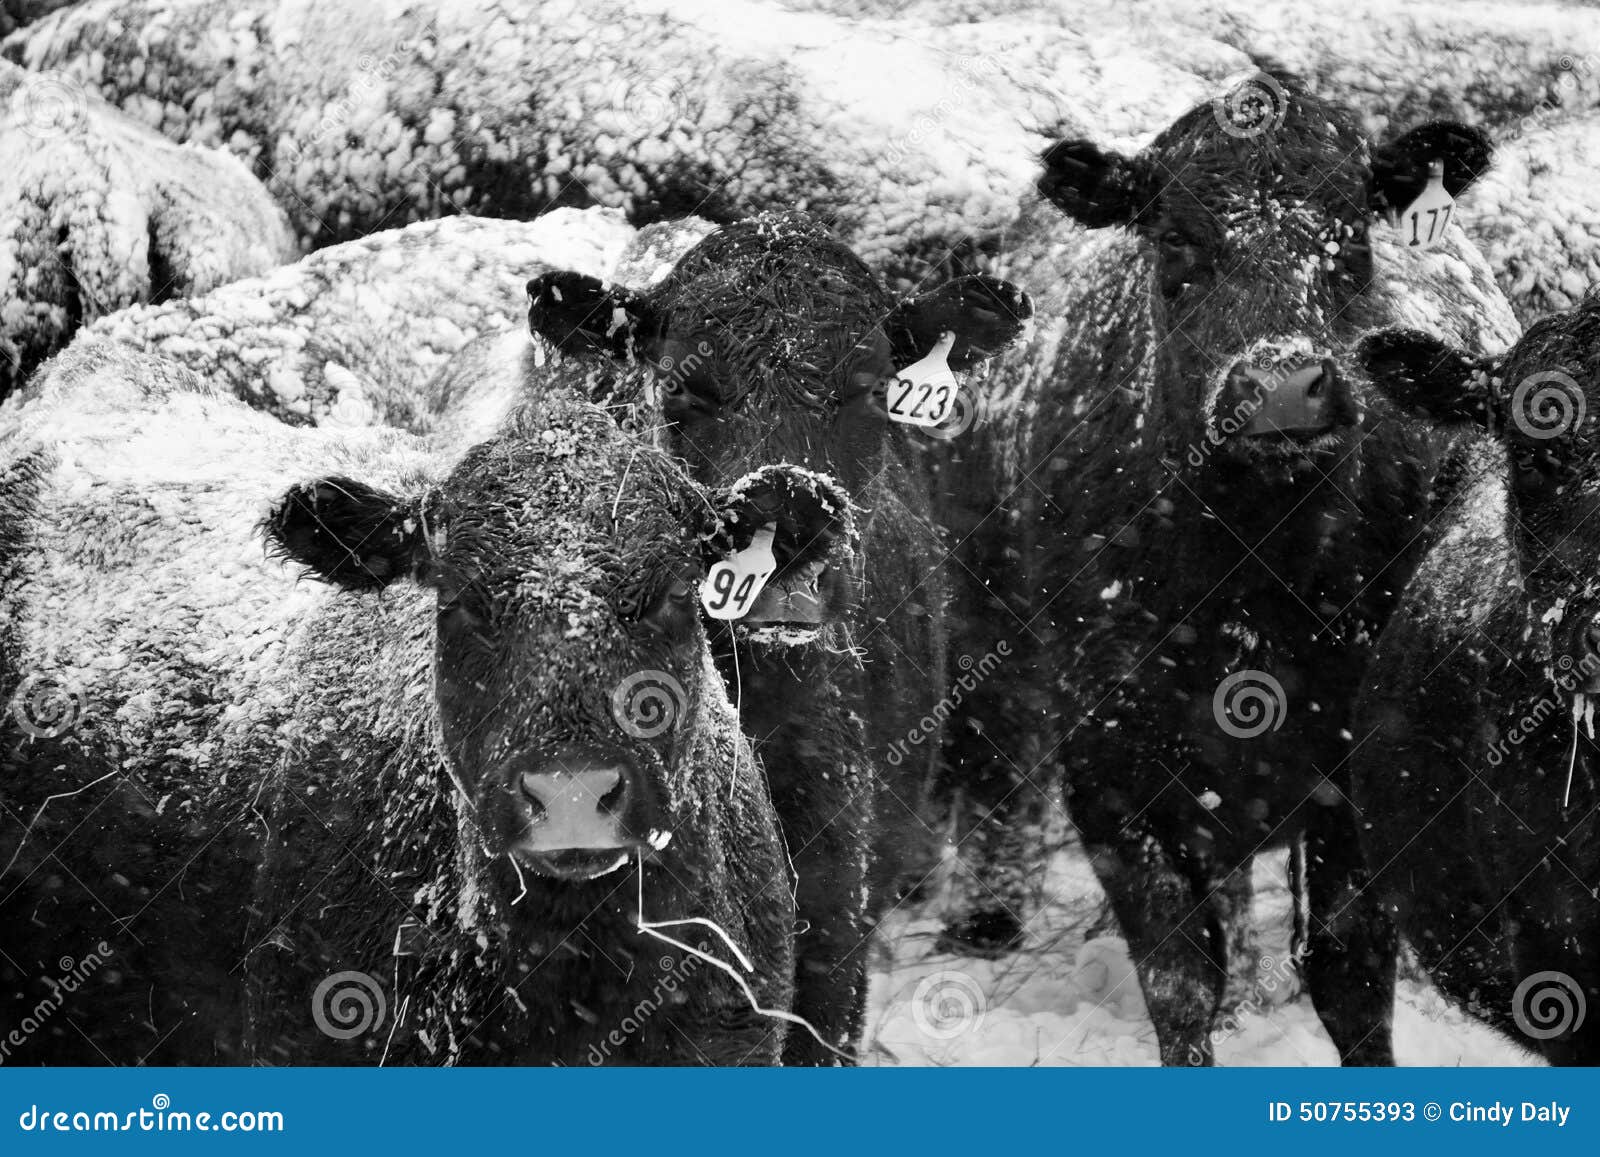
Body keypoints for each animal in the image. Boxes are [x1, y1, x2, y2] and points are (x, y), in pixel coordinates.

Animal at [980, 66, 1520, 1064]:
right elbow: (1180, 976)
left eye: (1352, 234)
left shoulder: (1355, 782)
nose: (1281, 389)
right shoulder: (1108, 777)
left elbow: (1350, 974)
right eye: (1176, 239)